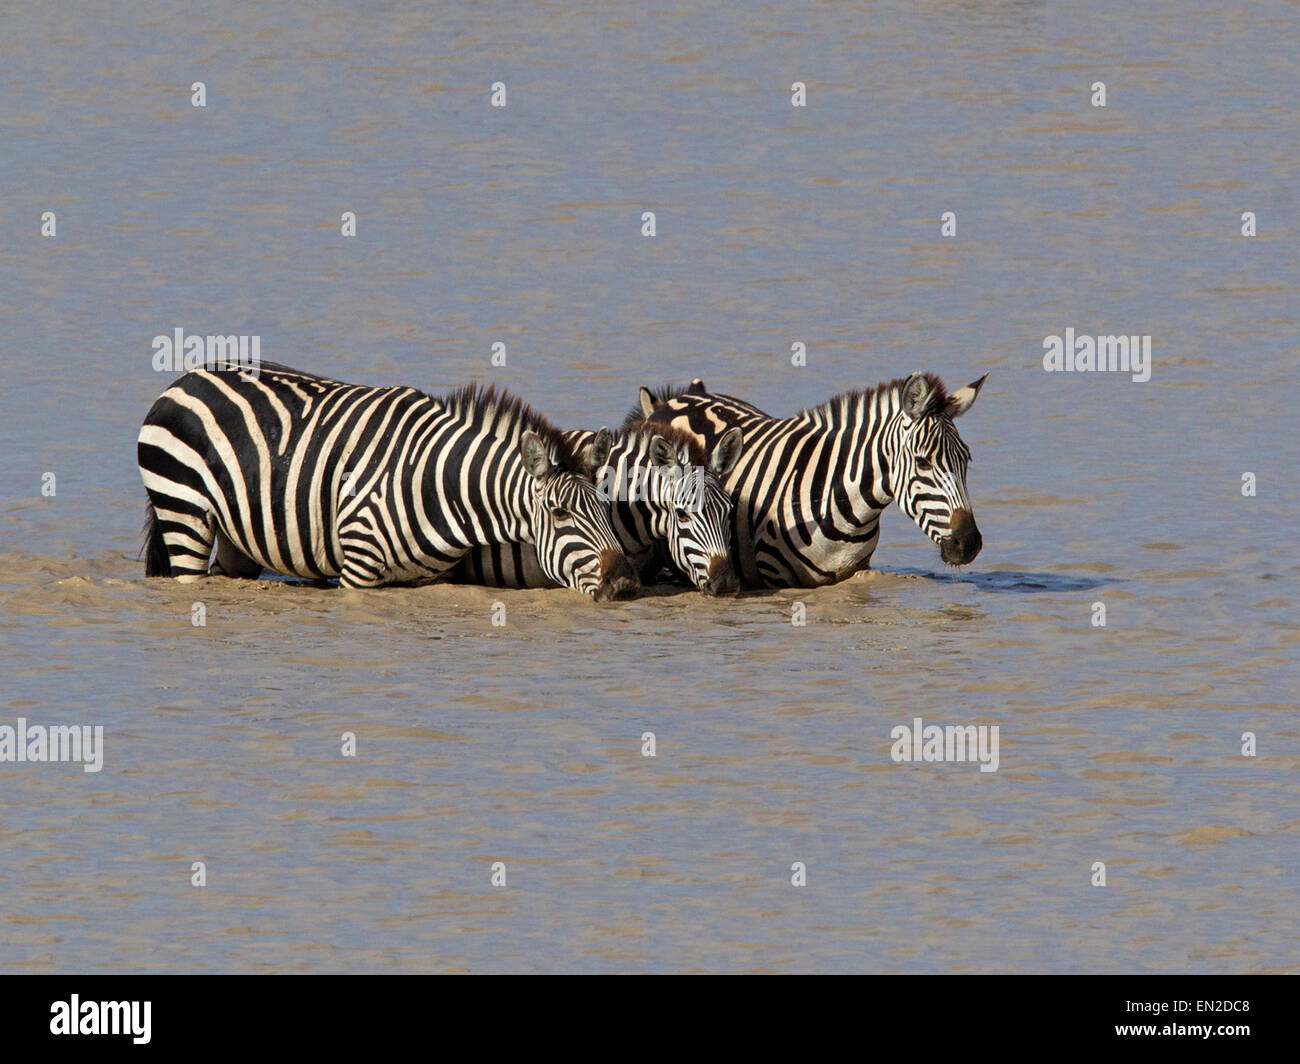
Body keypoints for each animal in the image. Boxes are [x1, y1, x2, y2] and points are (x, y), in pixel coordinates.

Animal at [137, 361, 640, 600]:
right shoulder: (357, 571)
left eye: (606, 509)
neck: (437, 484)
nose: (624, 585)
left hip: (235, 537)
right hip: (184, 514)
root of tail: (188, 377)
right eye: (560, 514)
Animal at [628, 372, 986, 588]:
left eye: (967, 460)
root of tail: (675, 400)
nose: (968, 543)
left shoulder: (855, 574)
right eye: (923, 462)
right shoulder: (775, 580)